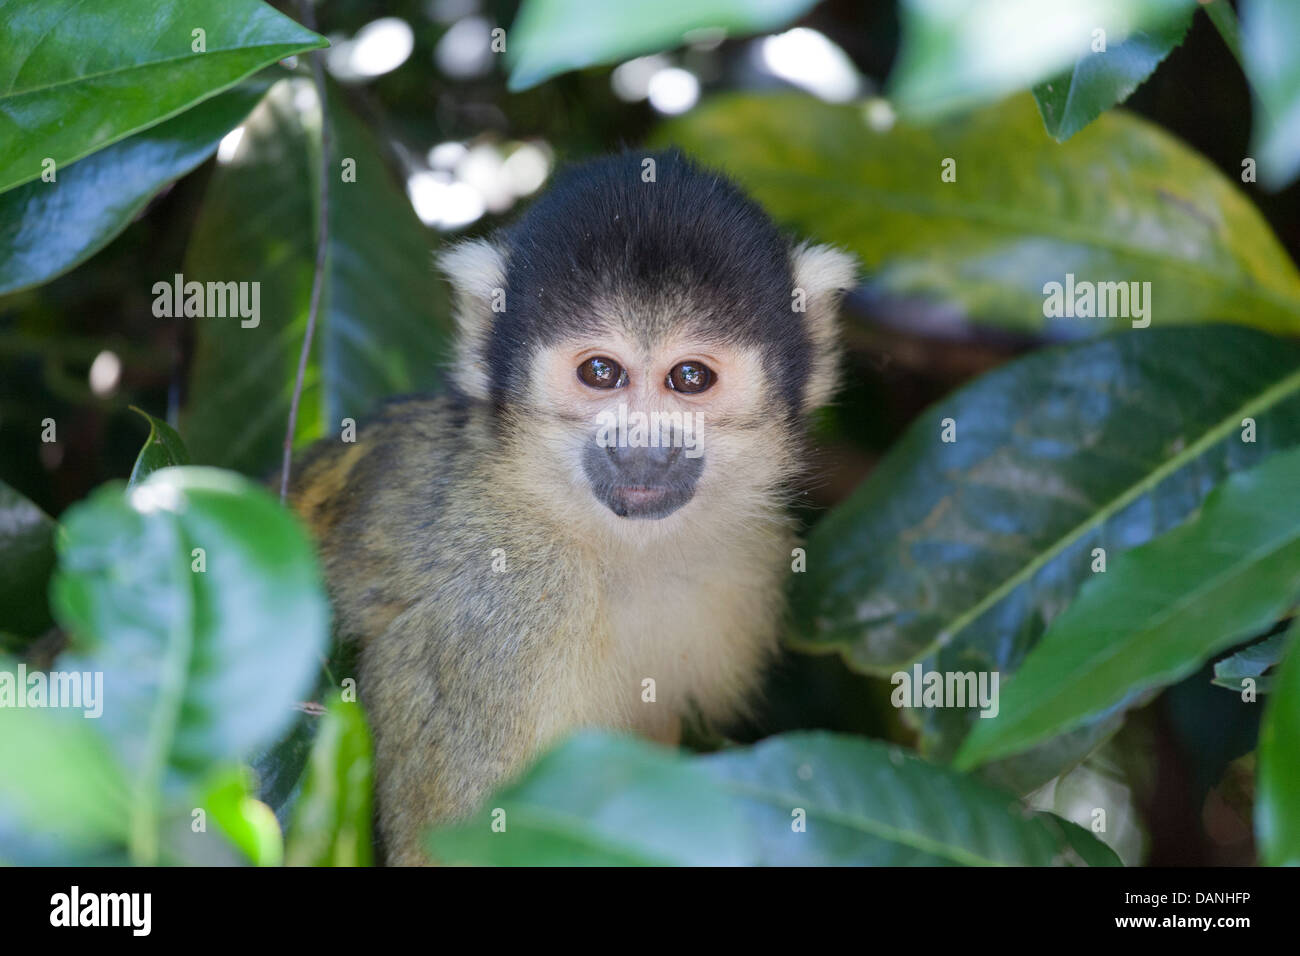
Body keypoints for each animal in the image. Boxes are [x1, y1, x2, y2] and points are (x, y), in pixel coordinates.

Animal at [288, 149, 856, 865]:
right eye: (601, 373)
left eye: (690, 378)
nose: (642, 447)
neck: (608, 545)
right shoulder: (509, 608)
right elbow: (449, 840)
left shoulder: (744, 569)